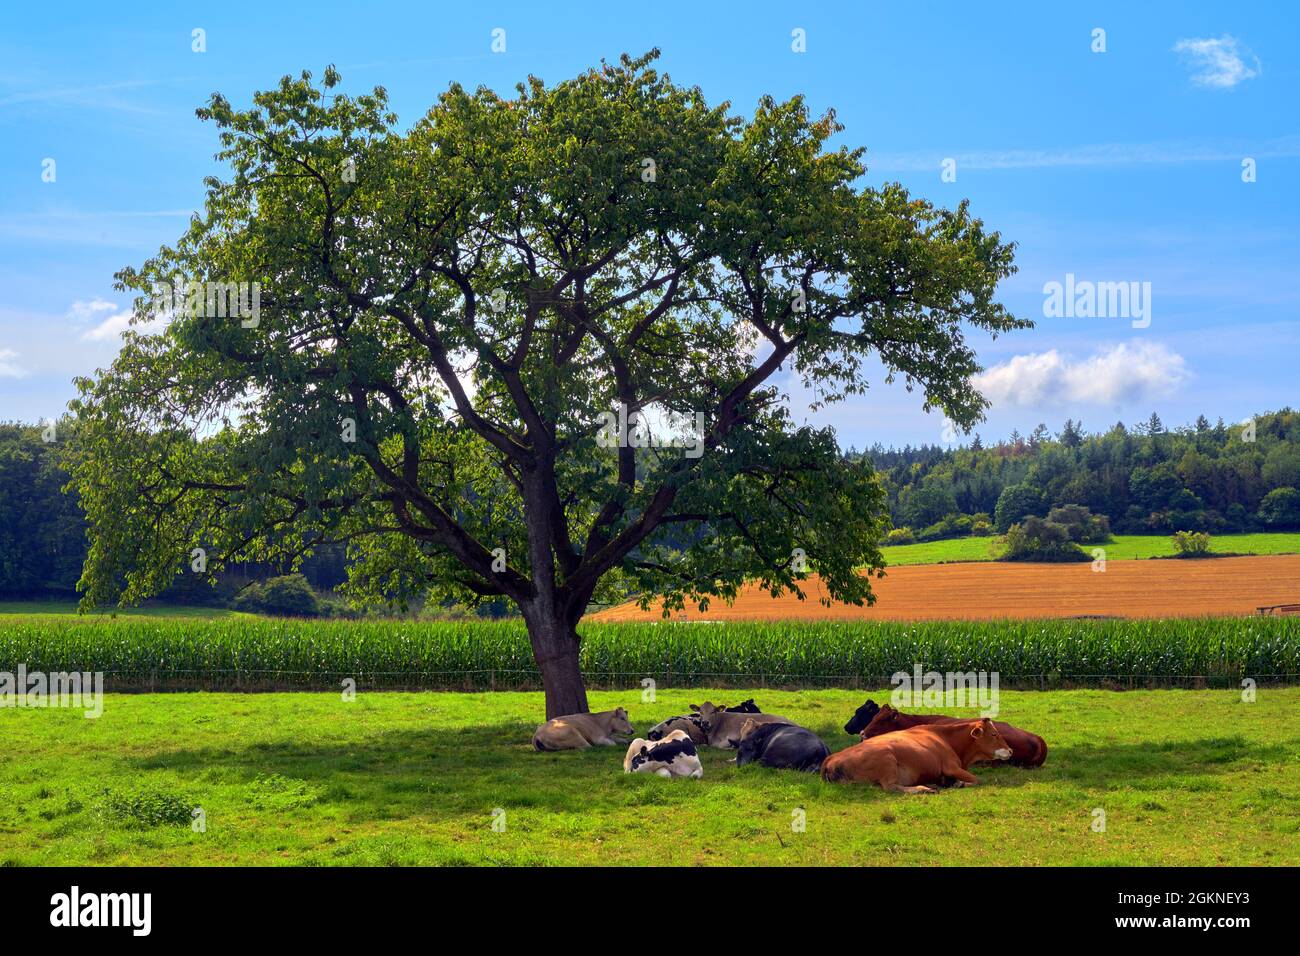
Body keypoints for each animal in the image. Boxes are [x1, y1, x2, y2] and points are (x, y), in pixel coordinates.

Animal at [820, 718, 1013, 793]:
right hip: (887, 759)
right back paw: (924, 789)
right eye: (994, 734)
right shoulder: (951, 767)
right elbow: (976, 779)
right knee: (891, 787)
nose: (1011, 751)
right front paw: (959, 783)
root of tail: (831, 758)